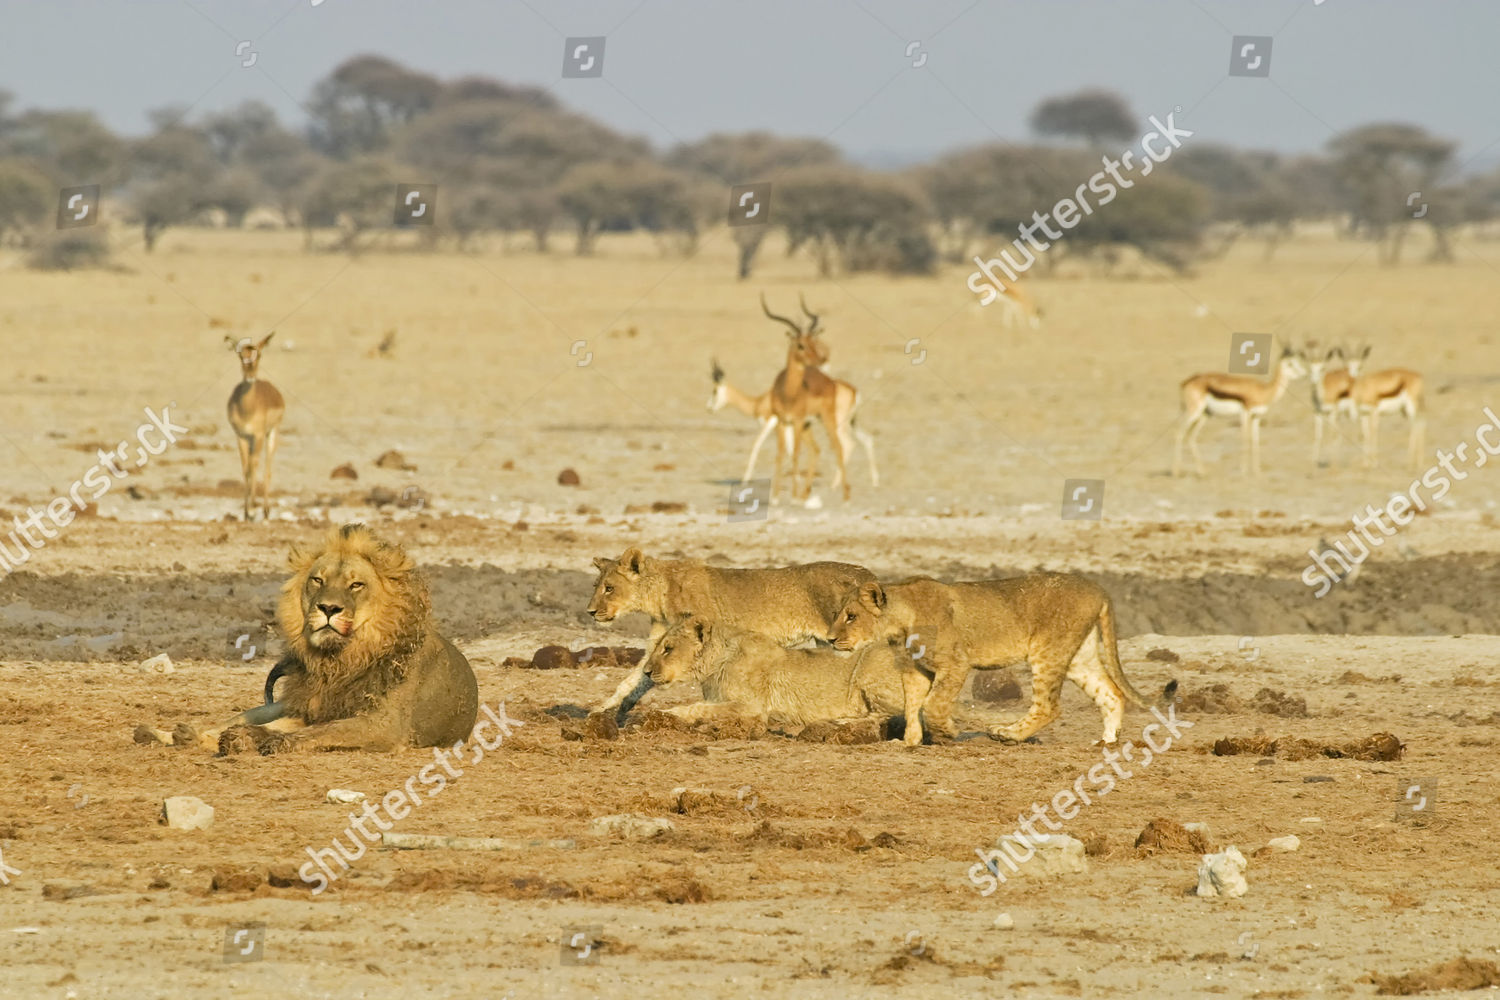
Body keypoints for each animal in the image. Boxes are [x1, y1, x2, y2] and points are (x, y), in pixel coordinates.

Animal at [136, 524, 477, 754]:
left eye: (356, 584)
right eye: (318, 580)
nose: (328, 608)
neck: (340, 659)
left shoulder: (384, 725)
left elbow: (320, 733)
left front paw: (257, 741)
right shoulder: (305, 709)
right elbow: (282, 727)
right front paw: (241, 737)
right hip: (273, 705)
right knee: (229, 720)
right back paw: (165, 734)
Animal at [586, 546, 874, 721]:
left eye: (609, 588)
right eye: (596, 585)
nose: (590, 611)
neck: (660, 595)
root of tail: (867, 574)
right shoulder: (660, 643)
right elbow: (633, 680)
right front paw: (605, 710)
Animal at [643, 614, 927, 730]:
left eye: (668, 648)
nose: (645, 672)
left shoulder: (752, 707)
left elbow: (700, 708)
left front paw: (667, 713)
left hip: (869, 667)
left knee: (896, 715)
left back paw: (841, 722)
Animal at [830, 573, 1174, 746]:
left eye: (851, 616)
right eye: (839, 614)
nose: (831, 639)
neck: (900, 622)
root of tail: (1099, 589)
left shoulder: (955, 664)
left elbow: (933, 704)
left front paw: (947, 733)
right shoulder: (914, 669)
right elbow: (913, 704)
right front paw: (910, 741)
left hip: (1046, 652)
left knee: (1049, 706)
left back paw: (1007, 733)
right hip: (1079, 657)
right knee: (1112, 694)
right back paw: (1107, 741)